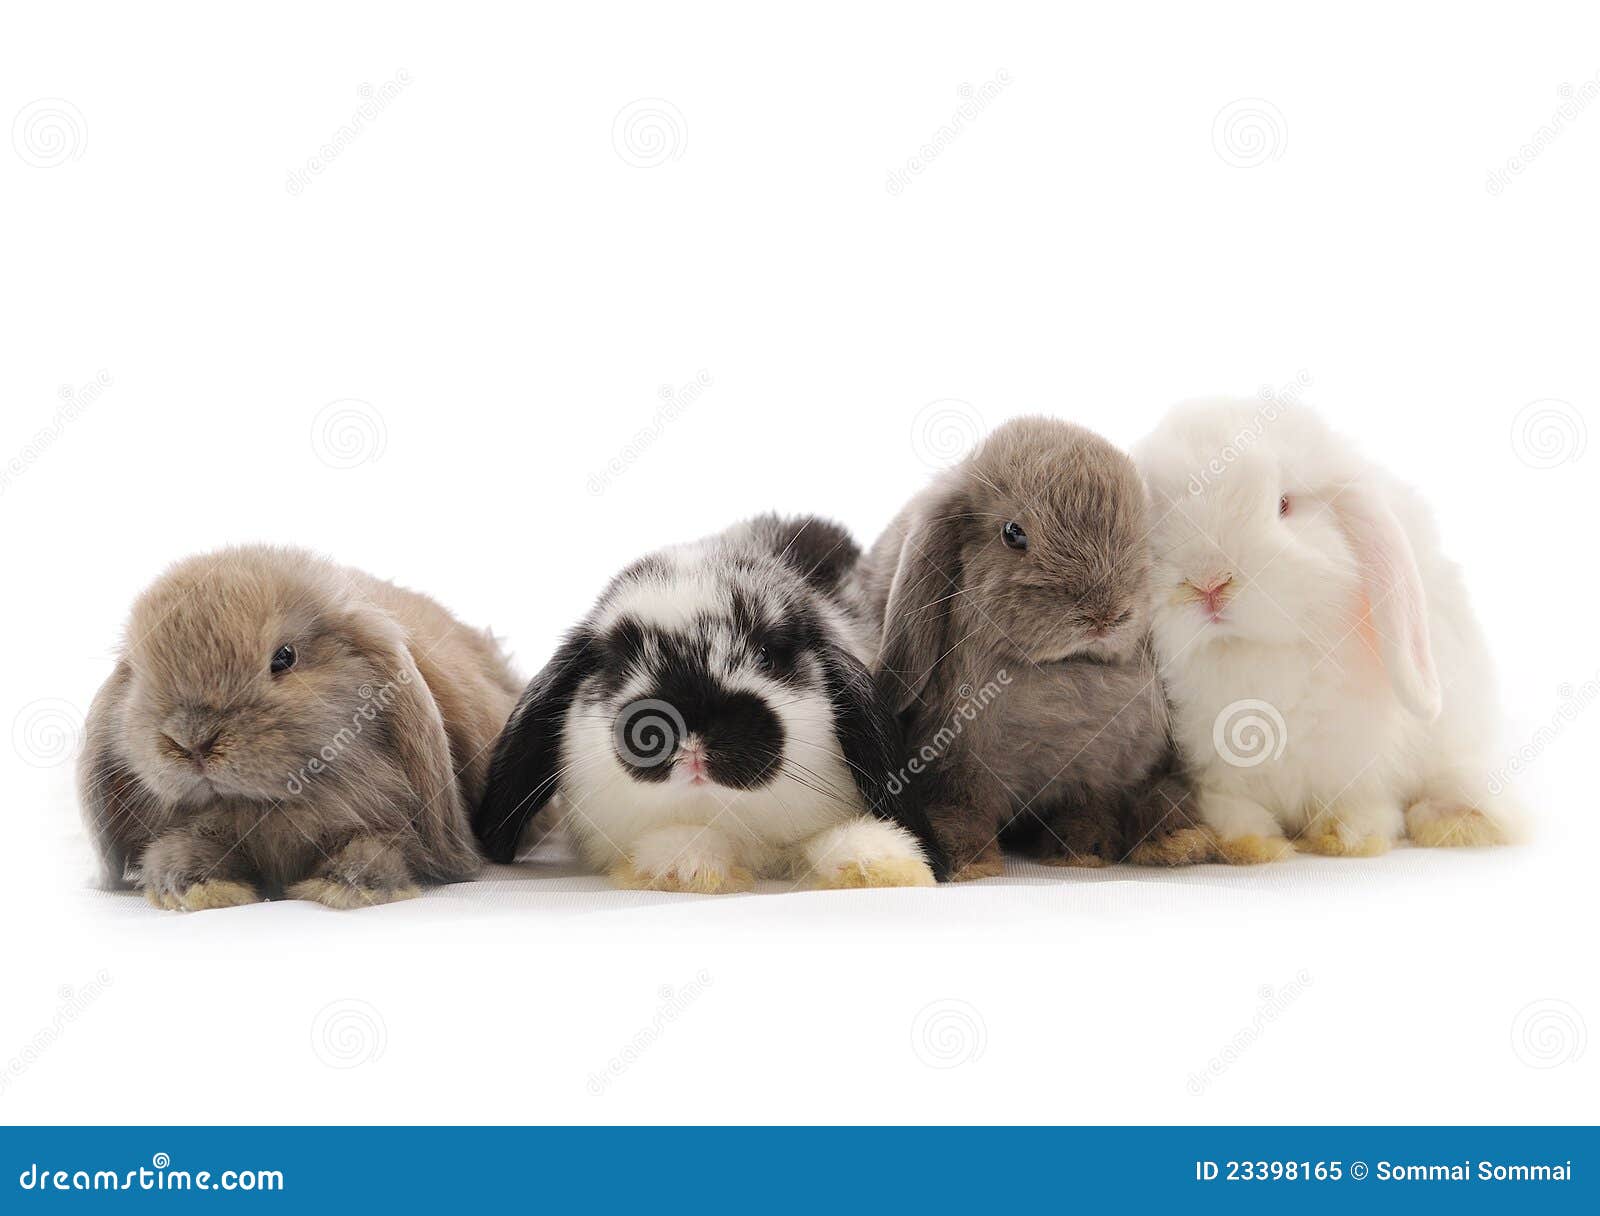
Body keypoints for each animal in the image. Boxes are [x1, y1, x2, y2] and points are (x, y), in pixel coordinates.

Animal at [77, 545, 521, 910]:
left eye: (284, 658)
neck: (266, 805)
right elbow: (178, 847)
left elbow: (371, 846)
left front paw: (348, 886)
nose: (192, 741)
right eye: (139, 674)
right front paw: (190, 889)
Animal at [845, 417, 1211, 881]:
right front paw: (967, 861)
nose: (1106, 614)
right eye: (1012, 533)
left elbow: (1089, 809)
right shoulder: (956, 769)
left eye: (1142, 537)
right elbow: (960, 810)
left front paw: (1083, 849)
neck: (1053, 670)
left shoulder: (1096, 776)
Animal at [1132, 397, 1519, 861]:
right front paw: (1249, 844)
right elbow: (1233, 807)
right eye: (1154, 517)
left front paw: (1350, 837)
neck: (1254, 653)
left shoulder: (1357, 759)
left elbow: (1359, 801)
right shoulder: (1215, 770)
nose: (1207, 582)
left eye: (1283, 504)